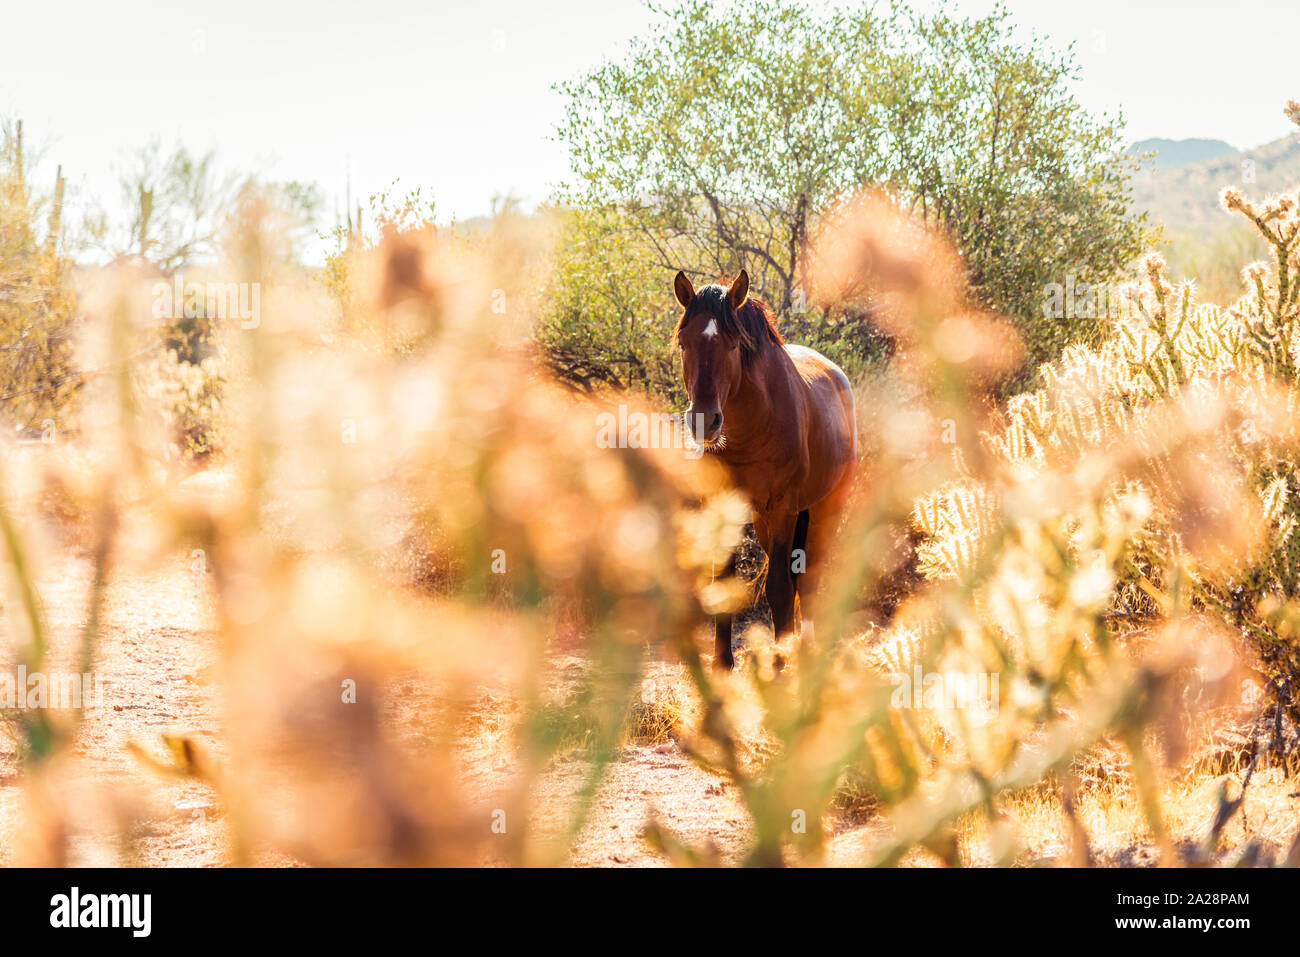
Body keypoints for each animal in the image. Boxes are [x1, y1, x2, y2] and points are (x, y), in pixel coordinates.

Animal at [673, 269, 857, 670]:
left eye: (731, 344)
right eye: (683, 343)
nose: (704, 422)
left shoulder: (784, 507)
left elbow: (780, 589)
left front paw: (779, 664)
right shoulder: (726, 505)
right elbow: (724, 581)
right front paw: (722, 663)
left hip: (824, 509)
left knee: (808, 576)